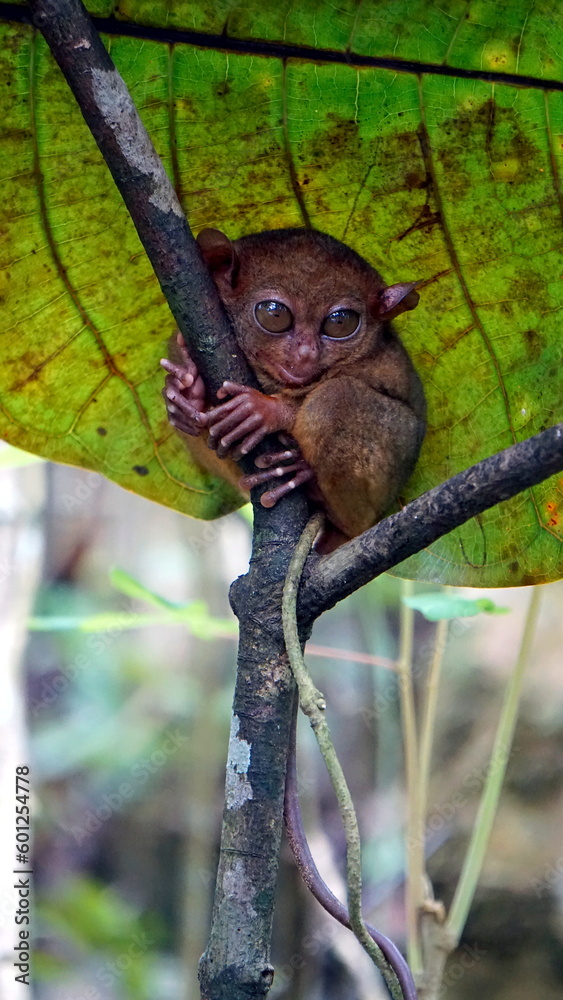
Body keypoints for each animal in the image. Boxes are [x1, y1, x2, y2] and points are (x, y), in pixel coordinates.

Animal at [161, 227, 426, 547]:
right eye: (275, 314)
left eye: (340, 323)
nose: (306, 354)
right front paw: (187, 394)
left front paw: (264, 411)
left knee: (335, 398)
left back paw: (306, 477)